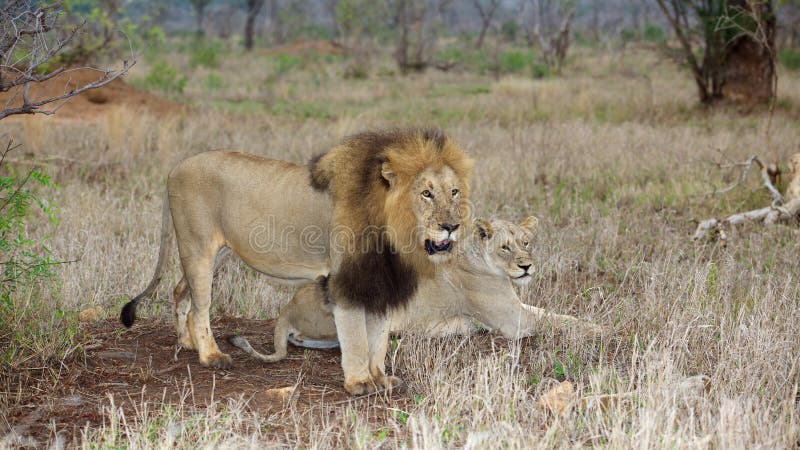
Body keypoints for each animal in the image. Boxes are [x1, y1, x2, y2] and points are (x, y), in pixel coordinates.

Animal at [120, 129, 472, 395]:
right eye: (426, 193)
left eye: (454, 191)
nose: (451, 226)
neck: (396, 231)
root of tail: (176, 167)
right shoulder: (345, 280)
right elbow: (357, 337)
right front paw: (359, 383)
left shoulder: (379, 282)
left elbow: (380, 338)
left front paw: (380, 378)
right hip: (198, 247)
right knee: (199, 306)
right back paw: (211, 356)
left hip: (219, 253)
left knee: (181, 293)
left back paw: (187, 343)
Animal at [228, 216, 603, 363]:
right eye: (506, 247)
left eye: (526, 242)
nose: (526, 266)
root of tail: (287, 309)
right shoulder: (513, 322)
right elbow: (559, 321)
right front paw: (600, 328)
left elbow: (556, 314)